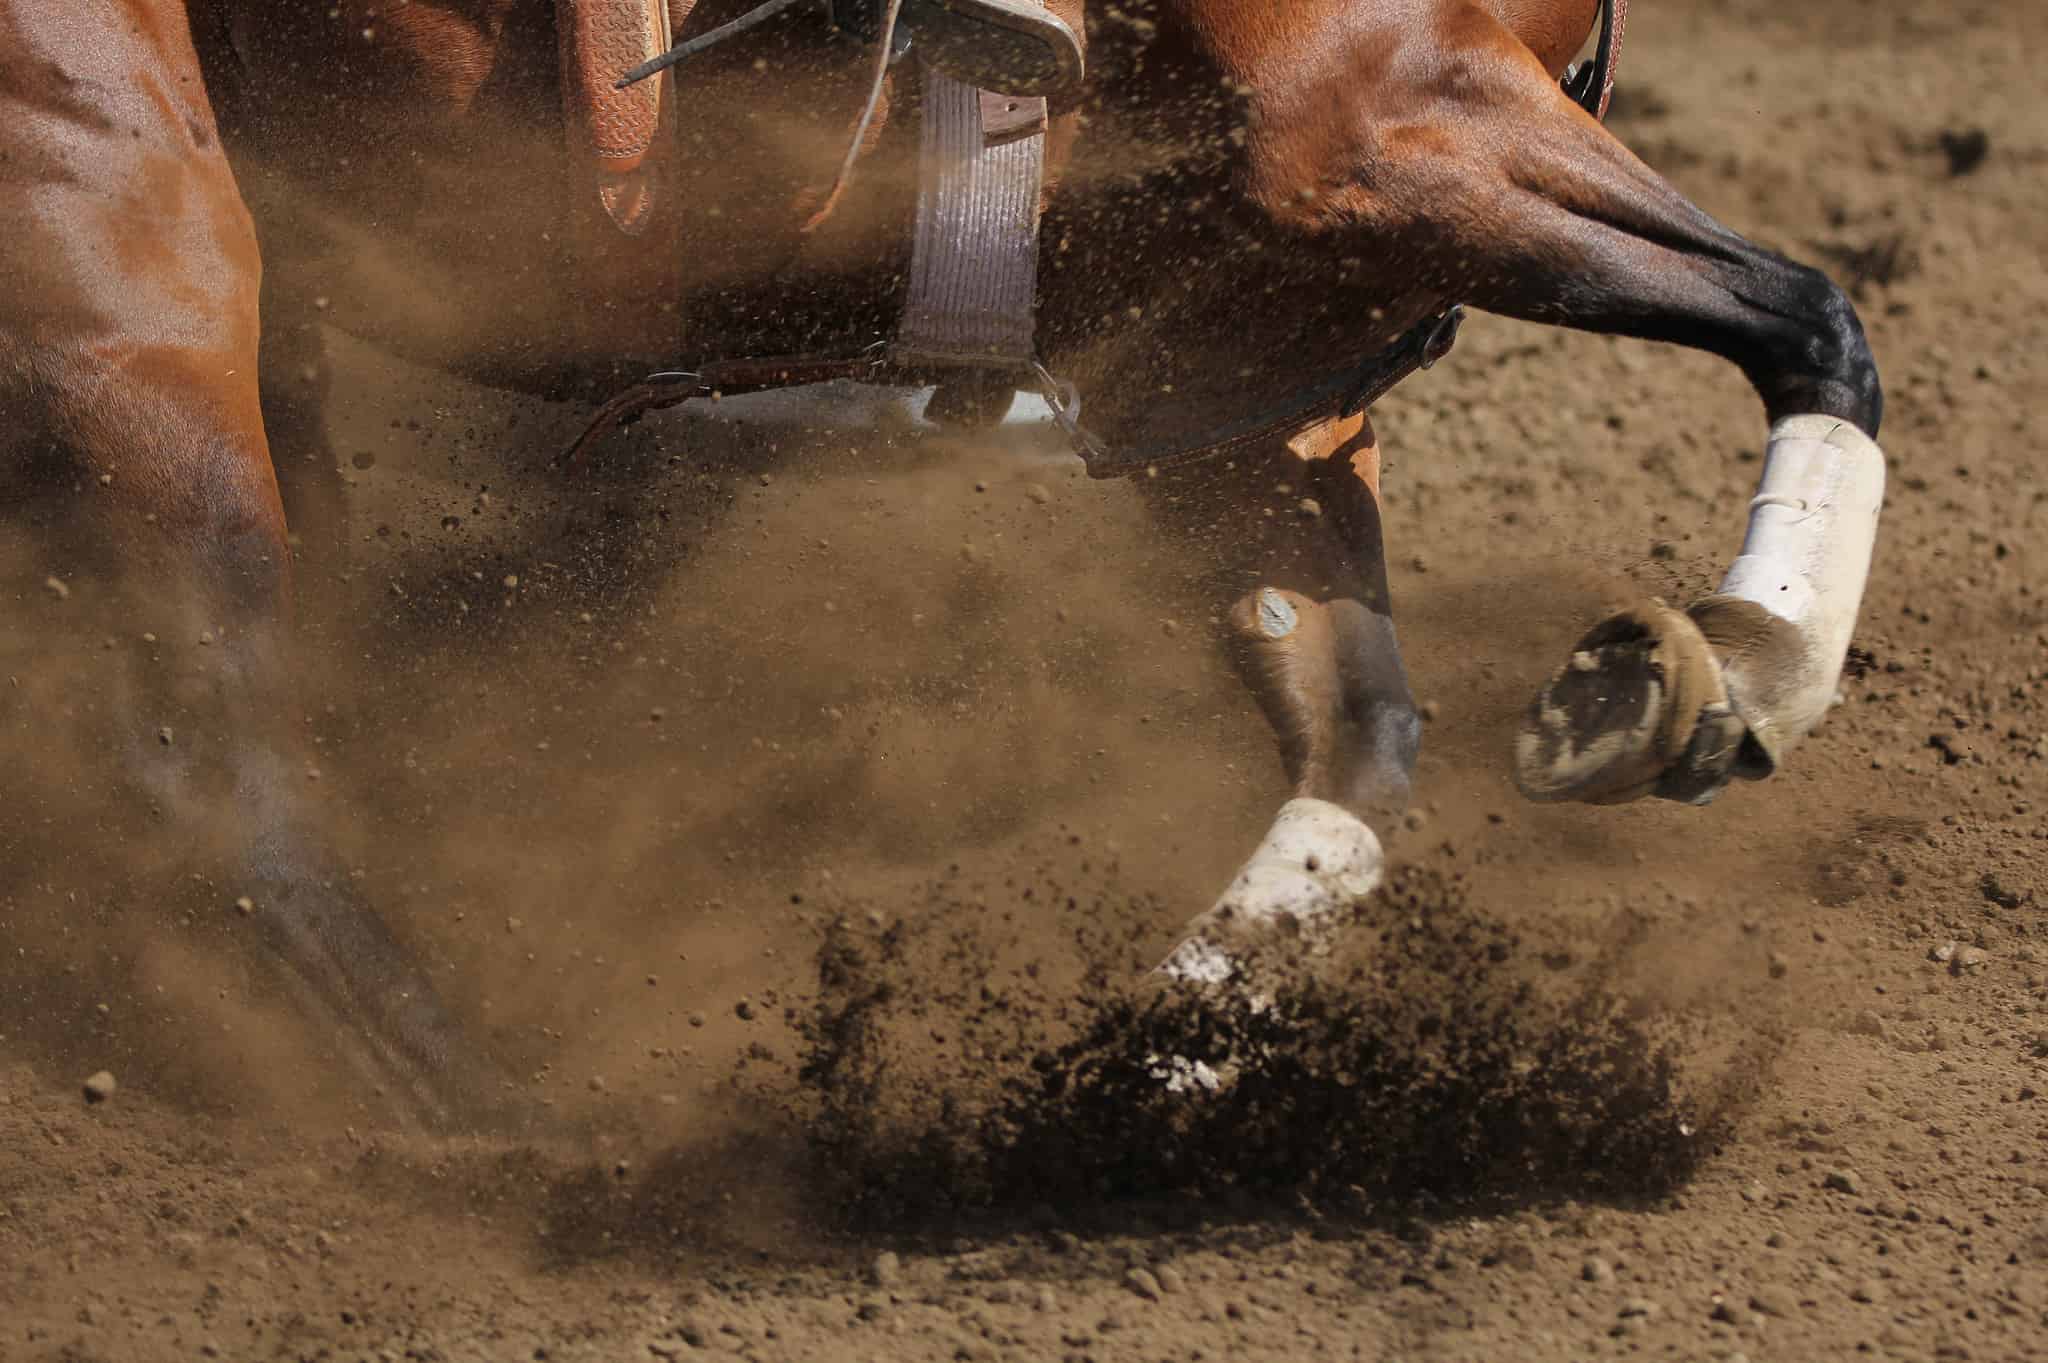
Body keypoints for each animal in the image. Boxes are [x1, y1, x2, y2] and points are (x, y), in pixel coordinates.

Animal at [0, 0, 1883, 1125]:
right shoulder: (1383, 125)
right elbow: (1810, 312)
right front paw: (1747, 660)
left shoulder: (1234, 359)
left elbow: (1363, 736)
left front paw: (1146, 1071)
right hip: (126, 244)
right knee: (205, 767)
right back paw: (508, 1124)